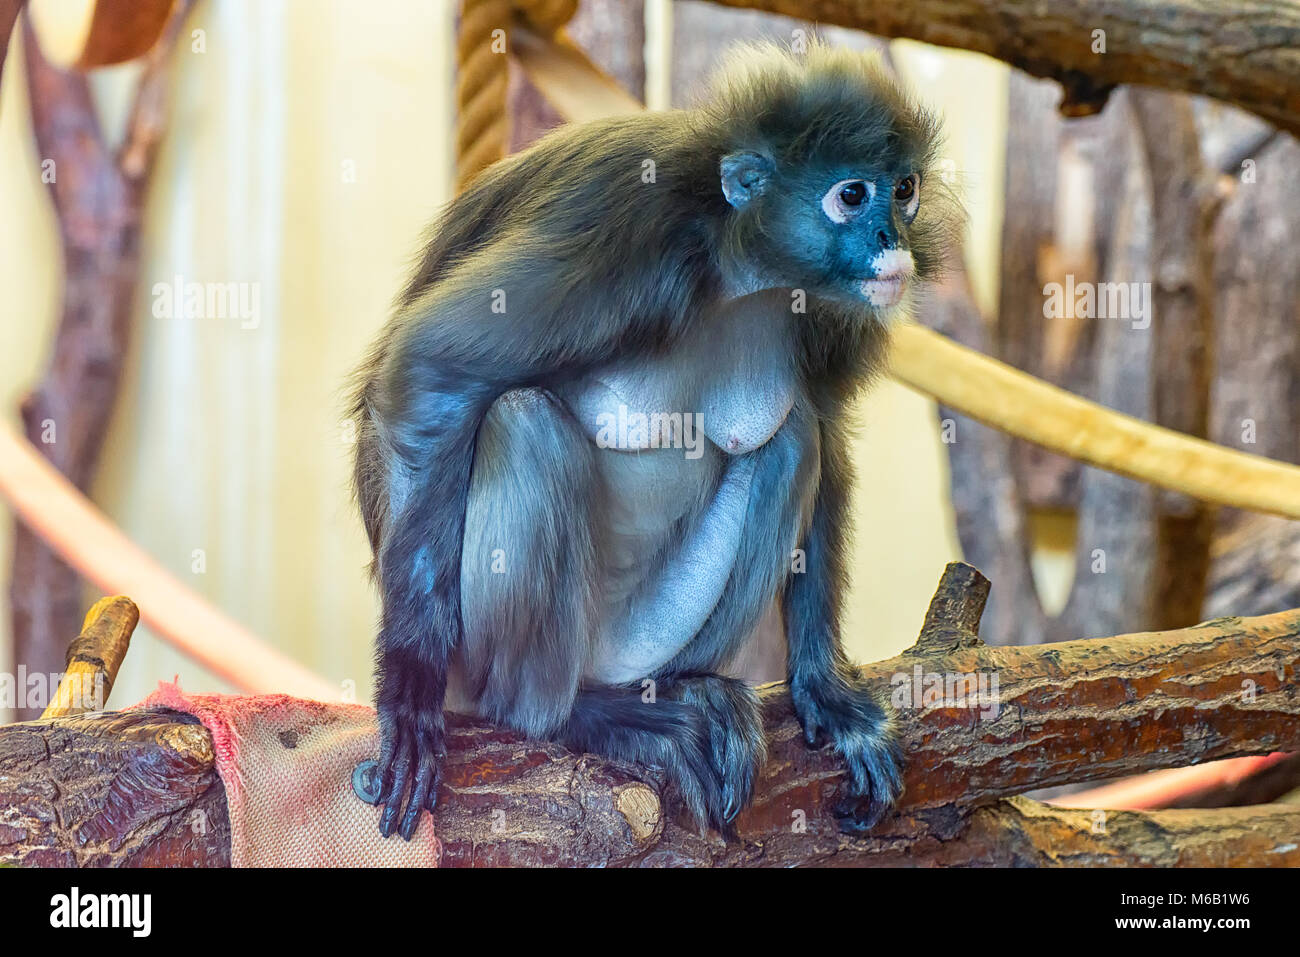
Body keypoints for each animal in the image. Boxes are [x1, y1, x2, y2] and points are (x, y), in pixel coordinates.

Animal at [351, 41, 958, 840]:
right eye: (852, 195)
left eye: (905, 189)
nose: (893, 237)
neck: (738, 269)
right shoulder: (626, 243)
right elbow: (432, 368)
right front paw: (408, 692)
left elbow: (827, 435)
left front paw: (825, 691)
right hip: (494, 656)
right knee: (524, 422)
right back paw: (568, 715)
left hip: (649, 635)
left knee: (793, 435)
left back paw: (684, 688)